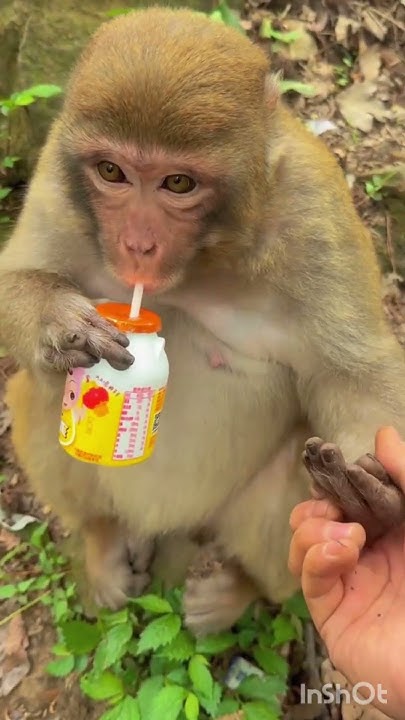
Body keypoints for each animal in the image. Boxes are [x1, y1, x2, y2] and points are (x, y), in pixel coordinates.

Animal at [2, 6, 405, 637]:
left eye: (178, 183)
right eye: (111, 171)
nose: (137, 245)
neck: (203, 259)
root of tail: (159, 523)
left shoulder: (315, 211)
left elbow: (354, 375)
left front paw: (378, 506)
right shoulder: (54, 176)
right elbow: (13, 279)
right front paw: (59, 323)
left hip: (221, 519)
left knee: (296, 474)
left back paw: (238, 589)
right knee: (35, 391)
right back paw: (102, 541)